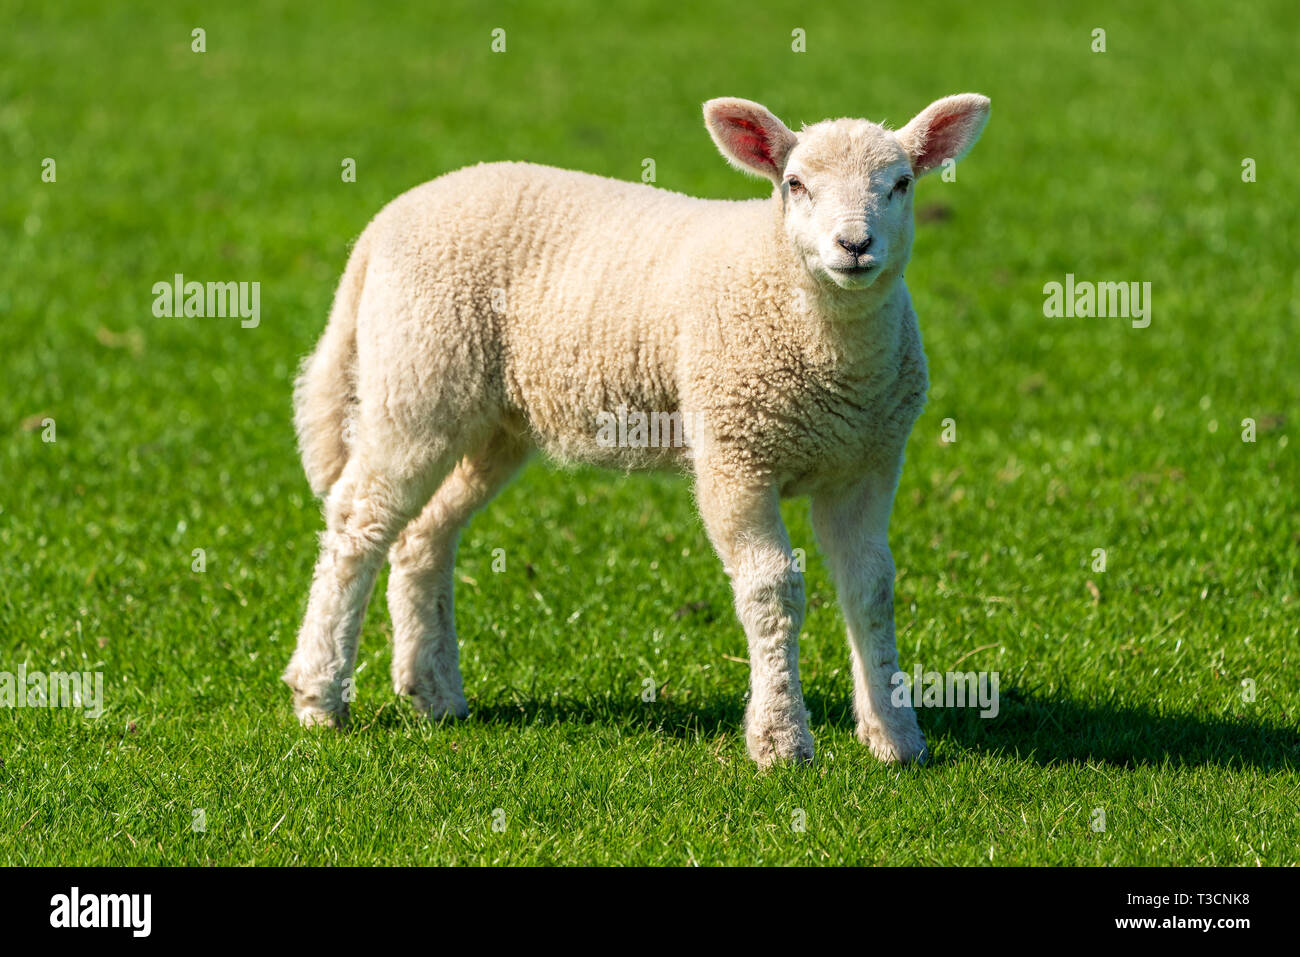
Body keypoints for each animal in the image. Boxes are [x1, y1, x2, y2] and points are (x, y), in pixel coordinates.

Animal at [283, 93, 991, 767]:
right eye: (795, 184)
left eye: (901, 183)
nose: (854, 246)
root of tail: (384, 223)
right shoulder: (733, 455)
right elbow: (773, 591)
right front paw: (781, 740)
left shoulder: (868, 463)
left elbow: (870, 590)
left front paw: (895, 738)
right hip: (417, 381)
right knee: (359, 522)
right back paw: (319, 695)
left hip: (492, 421)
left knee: (424, 534)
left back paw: (432, 693)